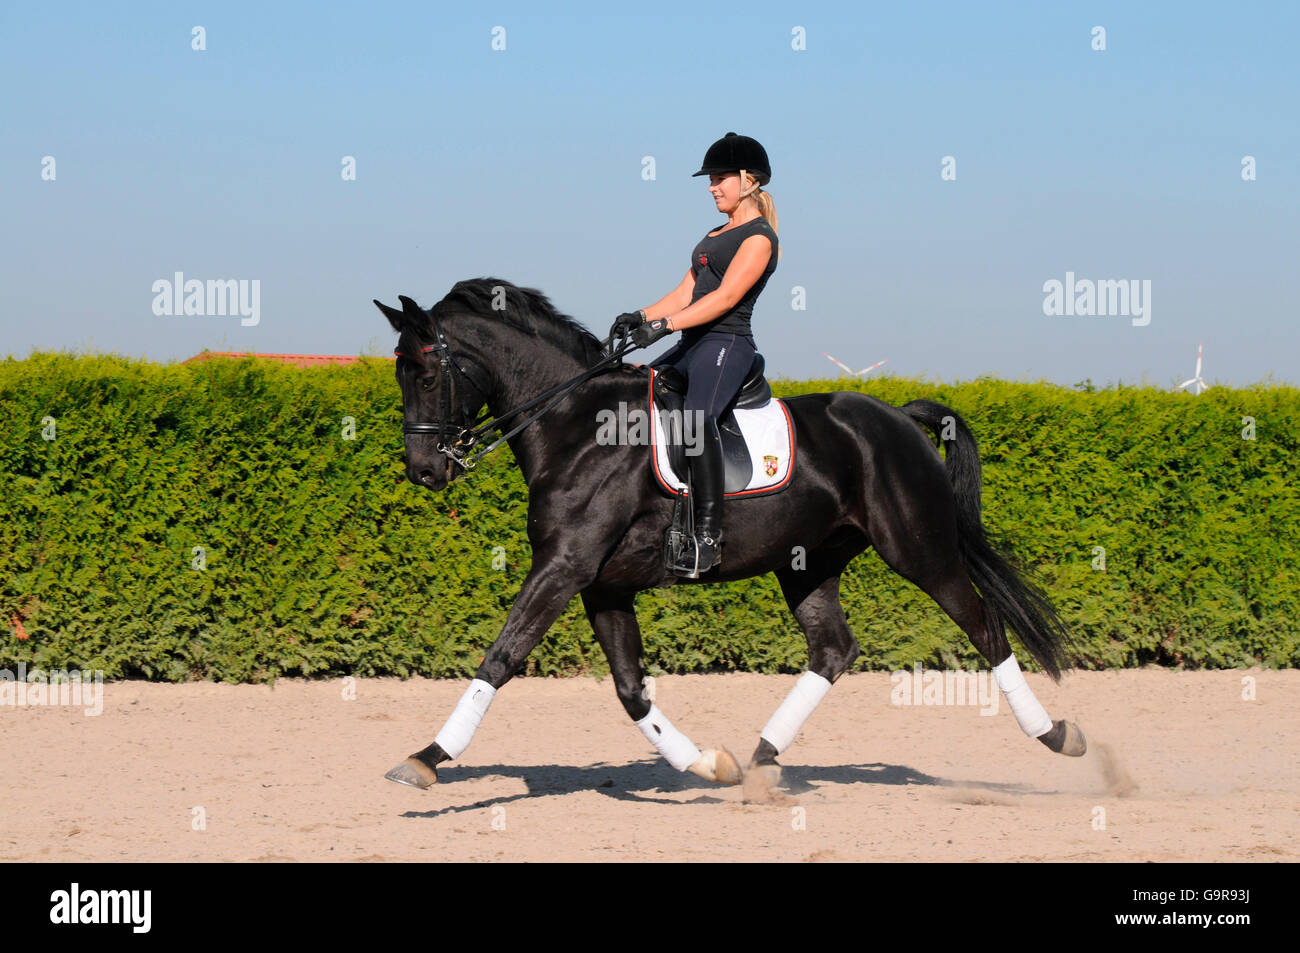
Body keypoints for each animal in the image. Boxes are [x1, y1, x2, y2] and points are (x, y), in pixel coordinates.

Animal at [373, 278, 1086, 793]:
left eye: (427, 374)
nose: (424, 470)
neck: (577, 424)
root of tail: (899, 418)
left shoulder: (565, 567)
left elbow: (502, 656)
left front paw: (426, 758)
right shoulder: (602, 585)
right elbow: (631, 690)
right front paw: (707, 764)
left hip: (919, 550)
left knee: (985, 627)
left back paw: (1058, 736)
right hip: (806, 562)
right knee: (833, 648)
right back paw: (764, 755)